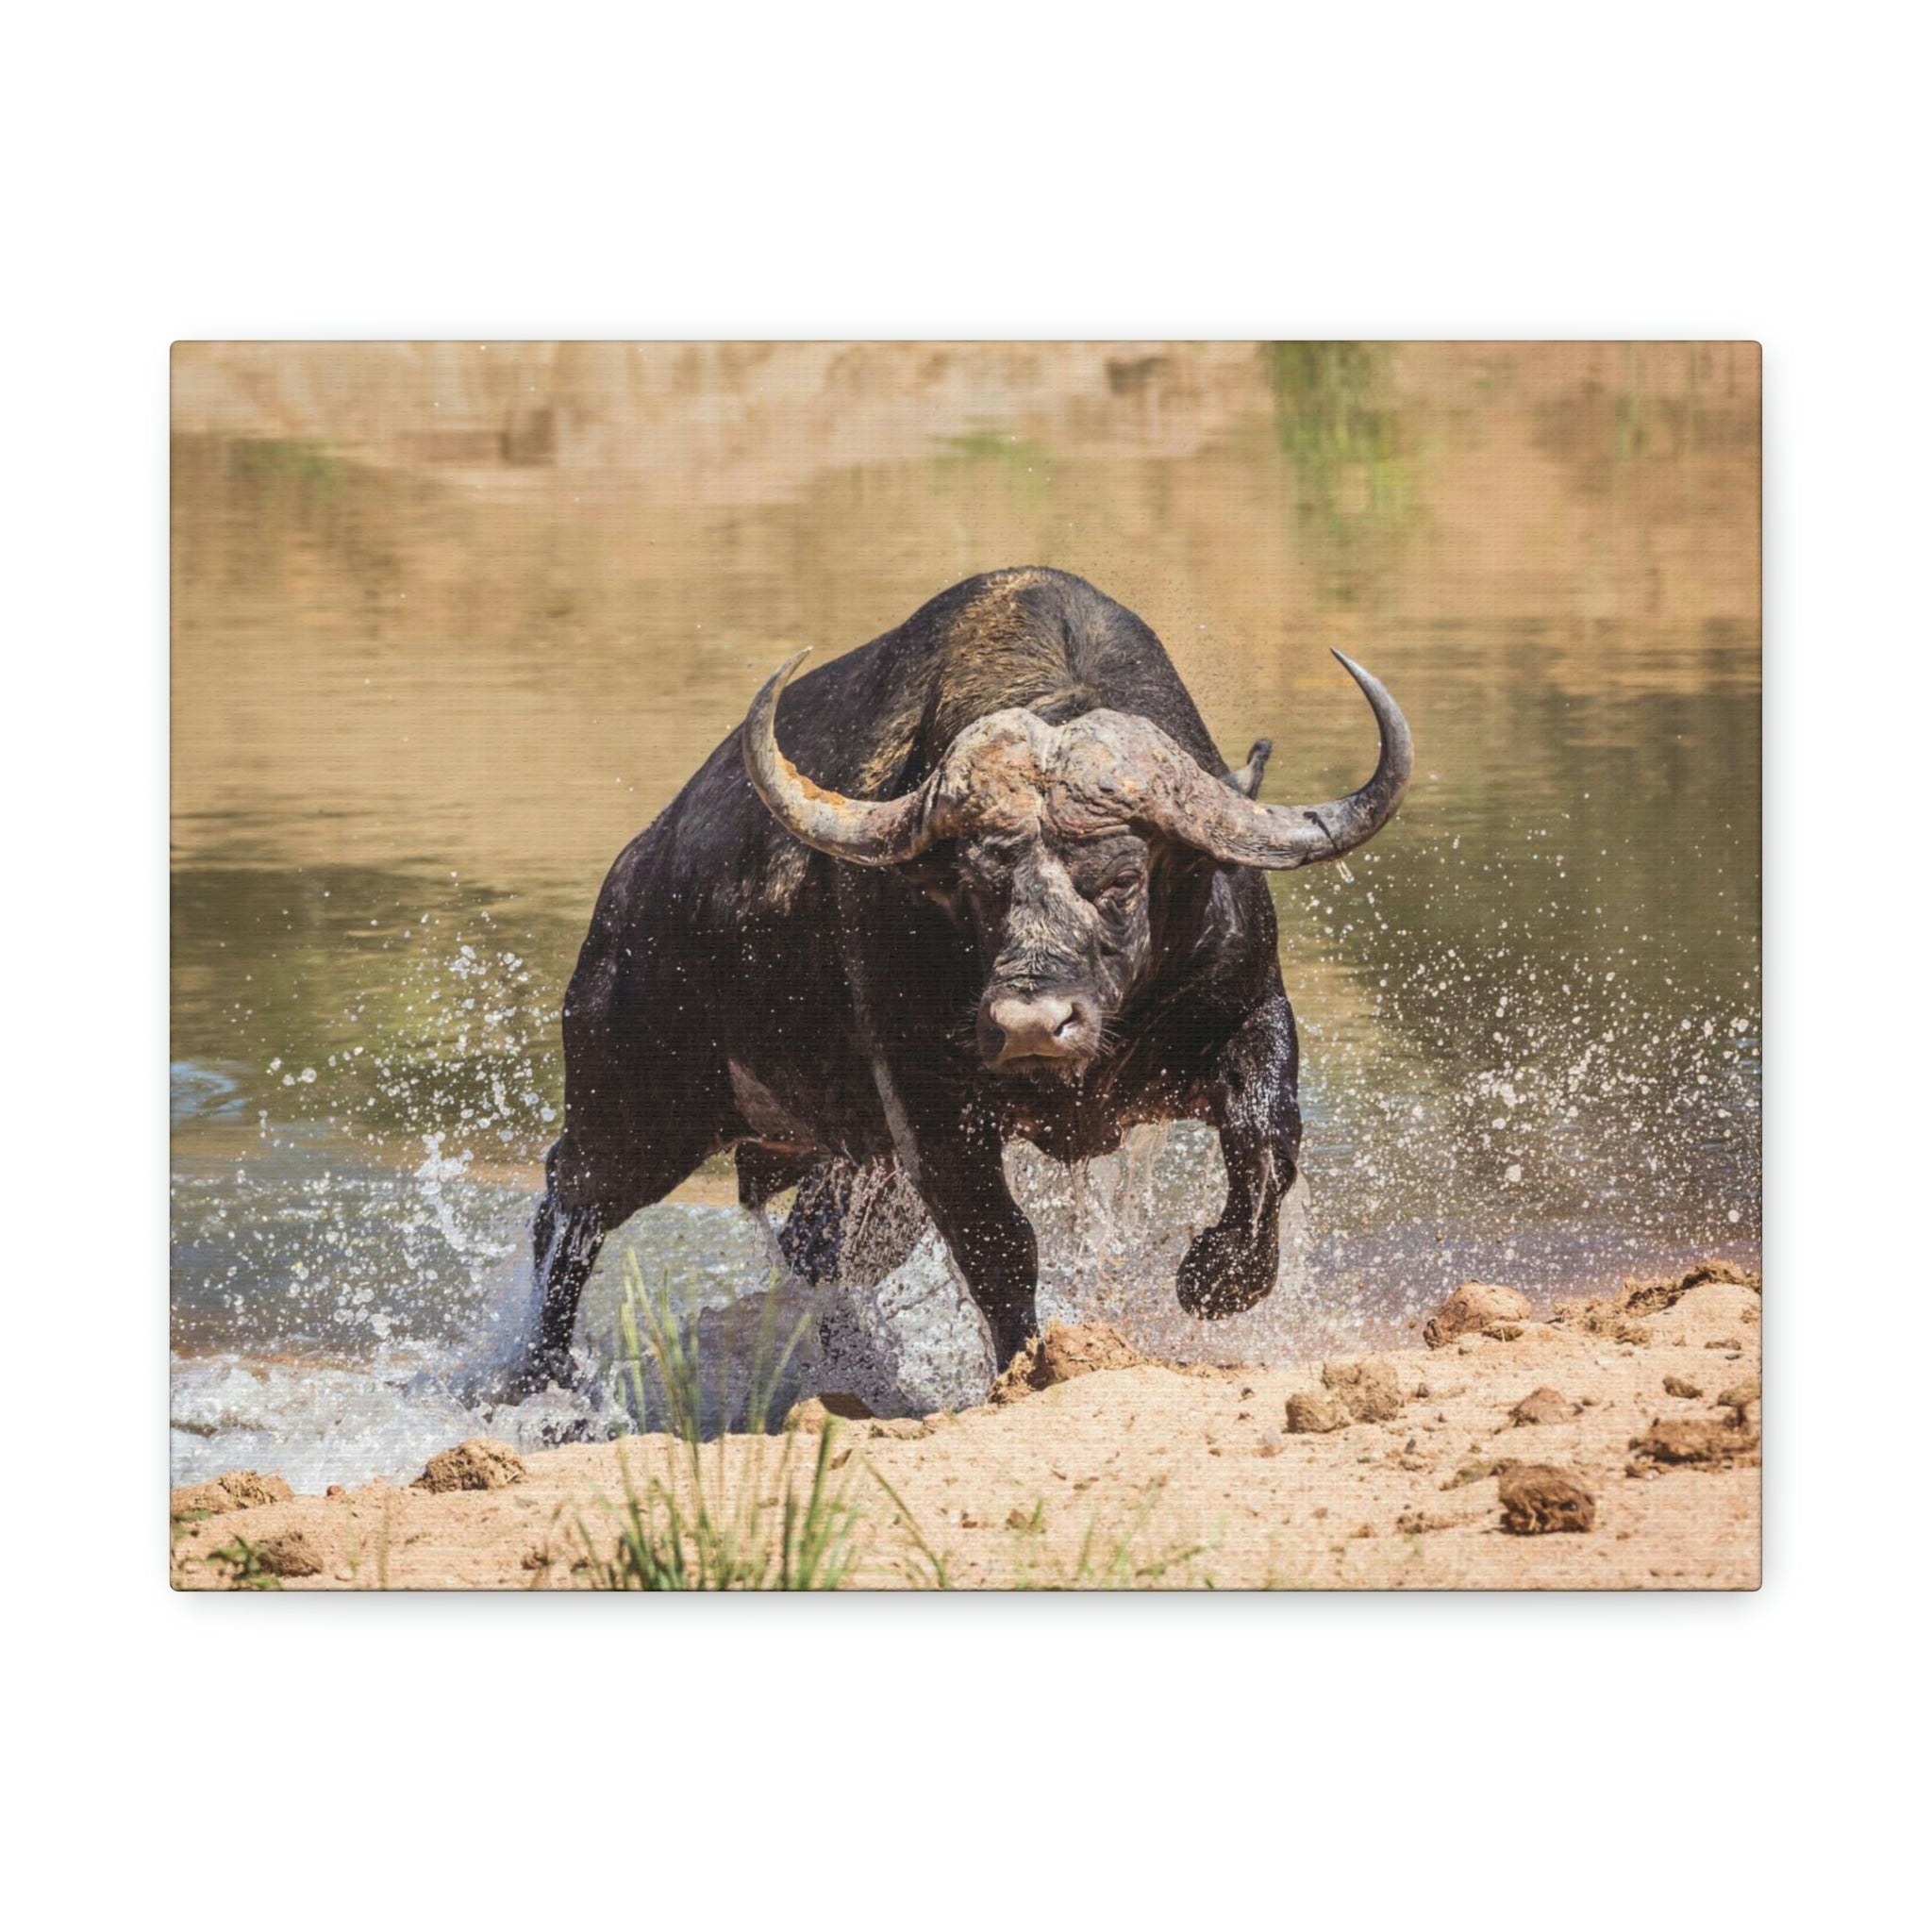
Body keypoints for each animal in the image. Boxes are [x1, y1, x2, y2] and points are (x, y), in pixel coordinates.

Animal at [515, 567, 1410, 1393]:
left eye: (1122, 879)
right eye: (973, 887)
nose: (1031, 1025)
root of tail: (631, 880)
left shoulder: (1248, 1011)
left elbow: (1266, 1143)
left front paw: (1217, 1279)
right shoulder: (927, 1100)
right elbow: (997, 1243)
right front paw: (1028, 1365)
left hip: (845, 1165)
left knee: (816, 1251)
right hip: (638, 1108)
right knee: (569, 1208)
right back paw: (539, 1383)